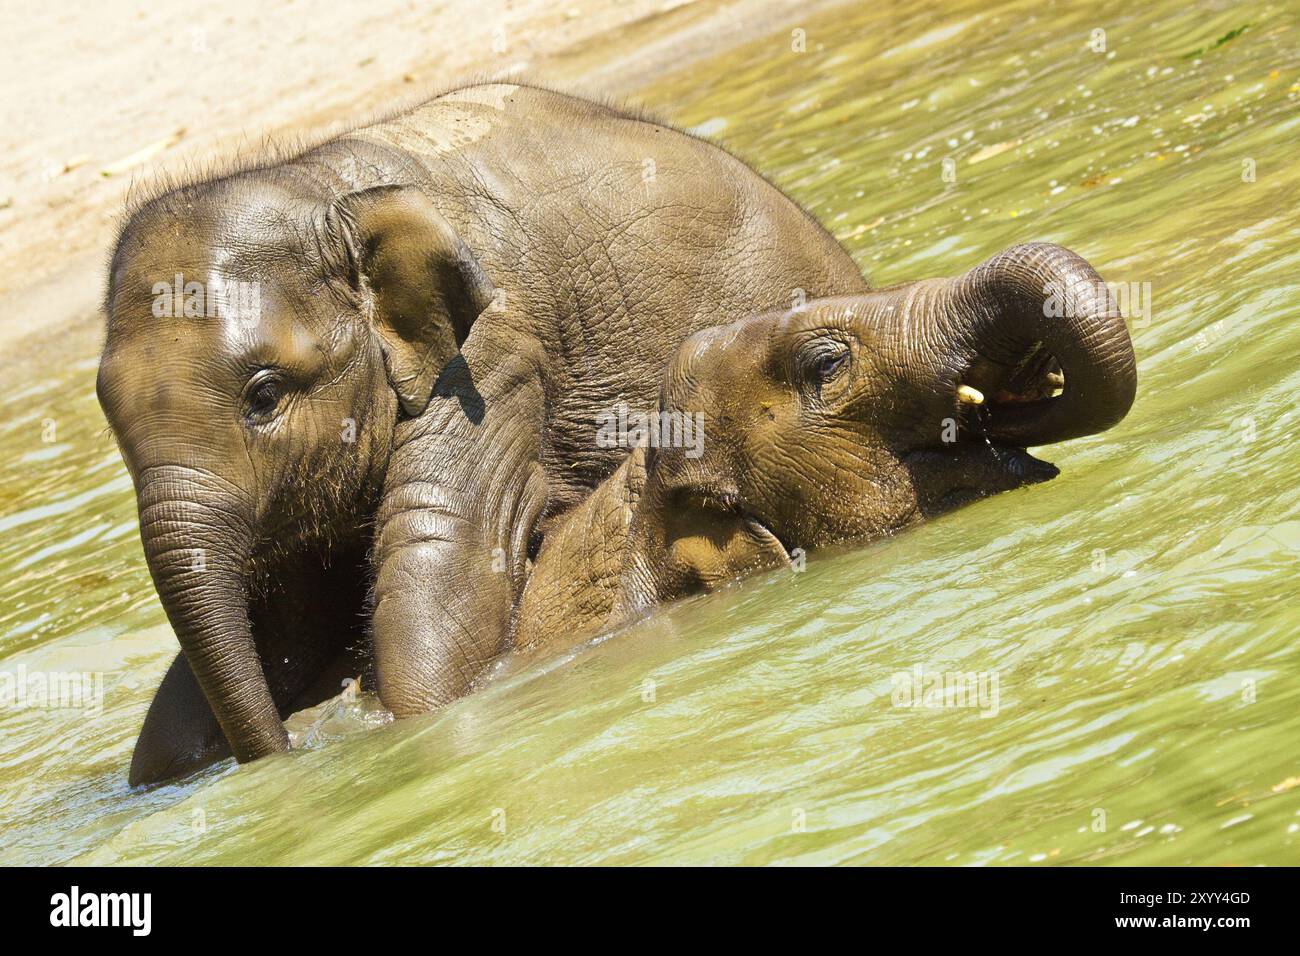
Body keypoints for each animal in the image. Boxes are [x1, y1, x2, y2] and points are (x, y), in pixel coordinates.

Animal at [98, 82, 870, 783]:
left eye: (263, 395)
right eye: (109, 414)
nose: (288, 753)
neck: (324, 189)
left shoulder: (491, 353)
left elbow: (434, 613)